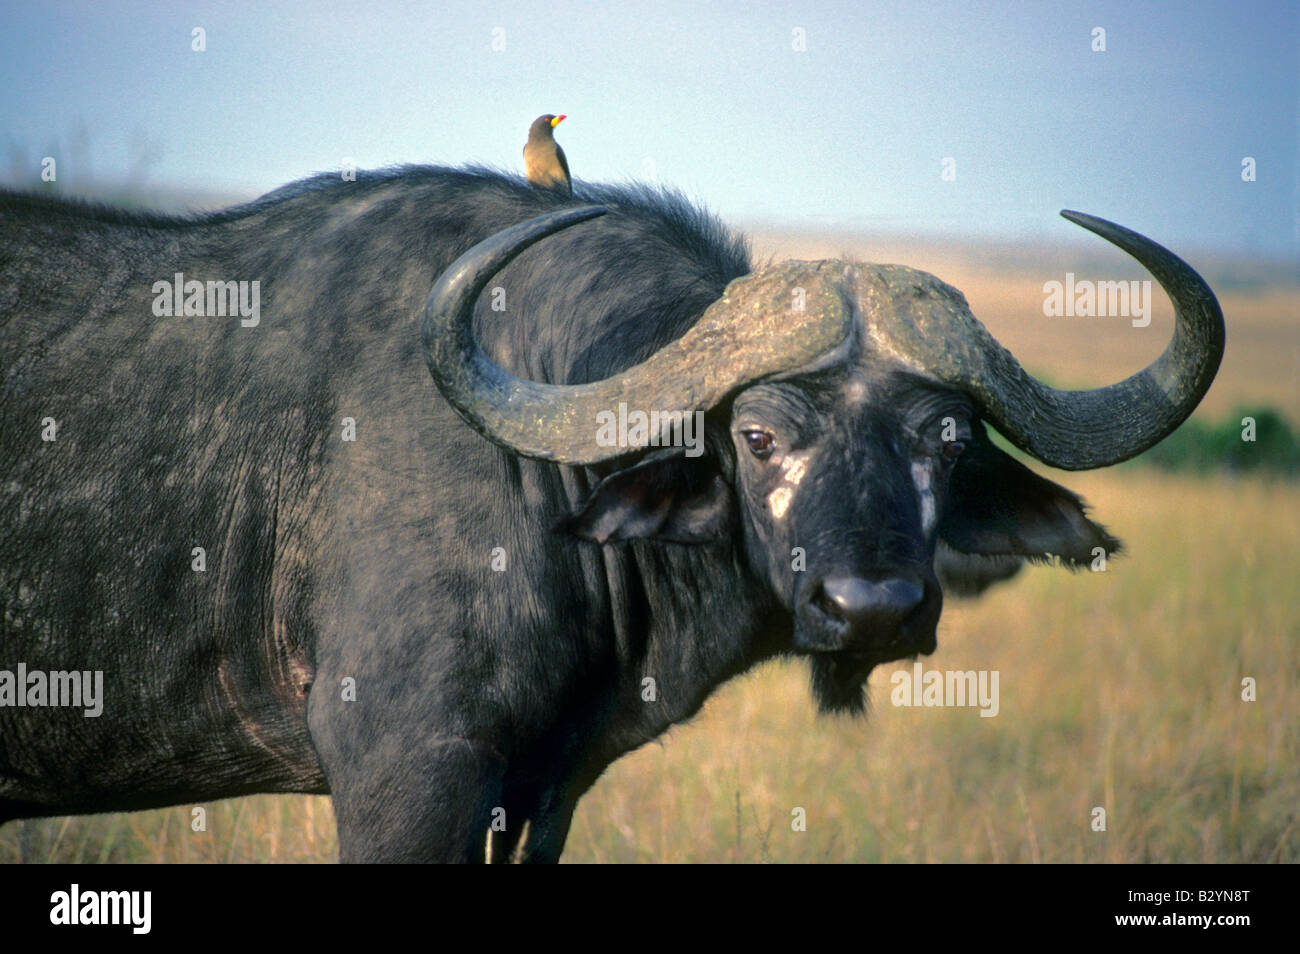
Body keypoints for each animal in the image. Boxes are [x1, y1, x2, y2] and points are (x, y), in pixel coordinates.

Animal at [0, 167, 1223, 861]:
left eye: (949, 438)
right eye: (757, 435)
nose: (872, 605)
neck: (532, 477)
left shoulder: (544, 798)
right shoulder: (406, 772)